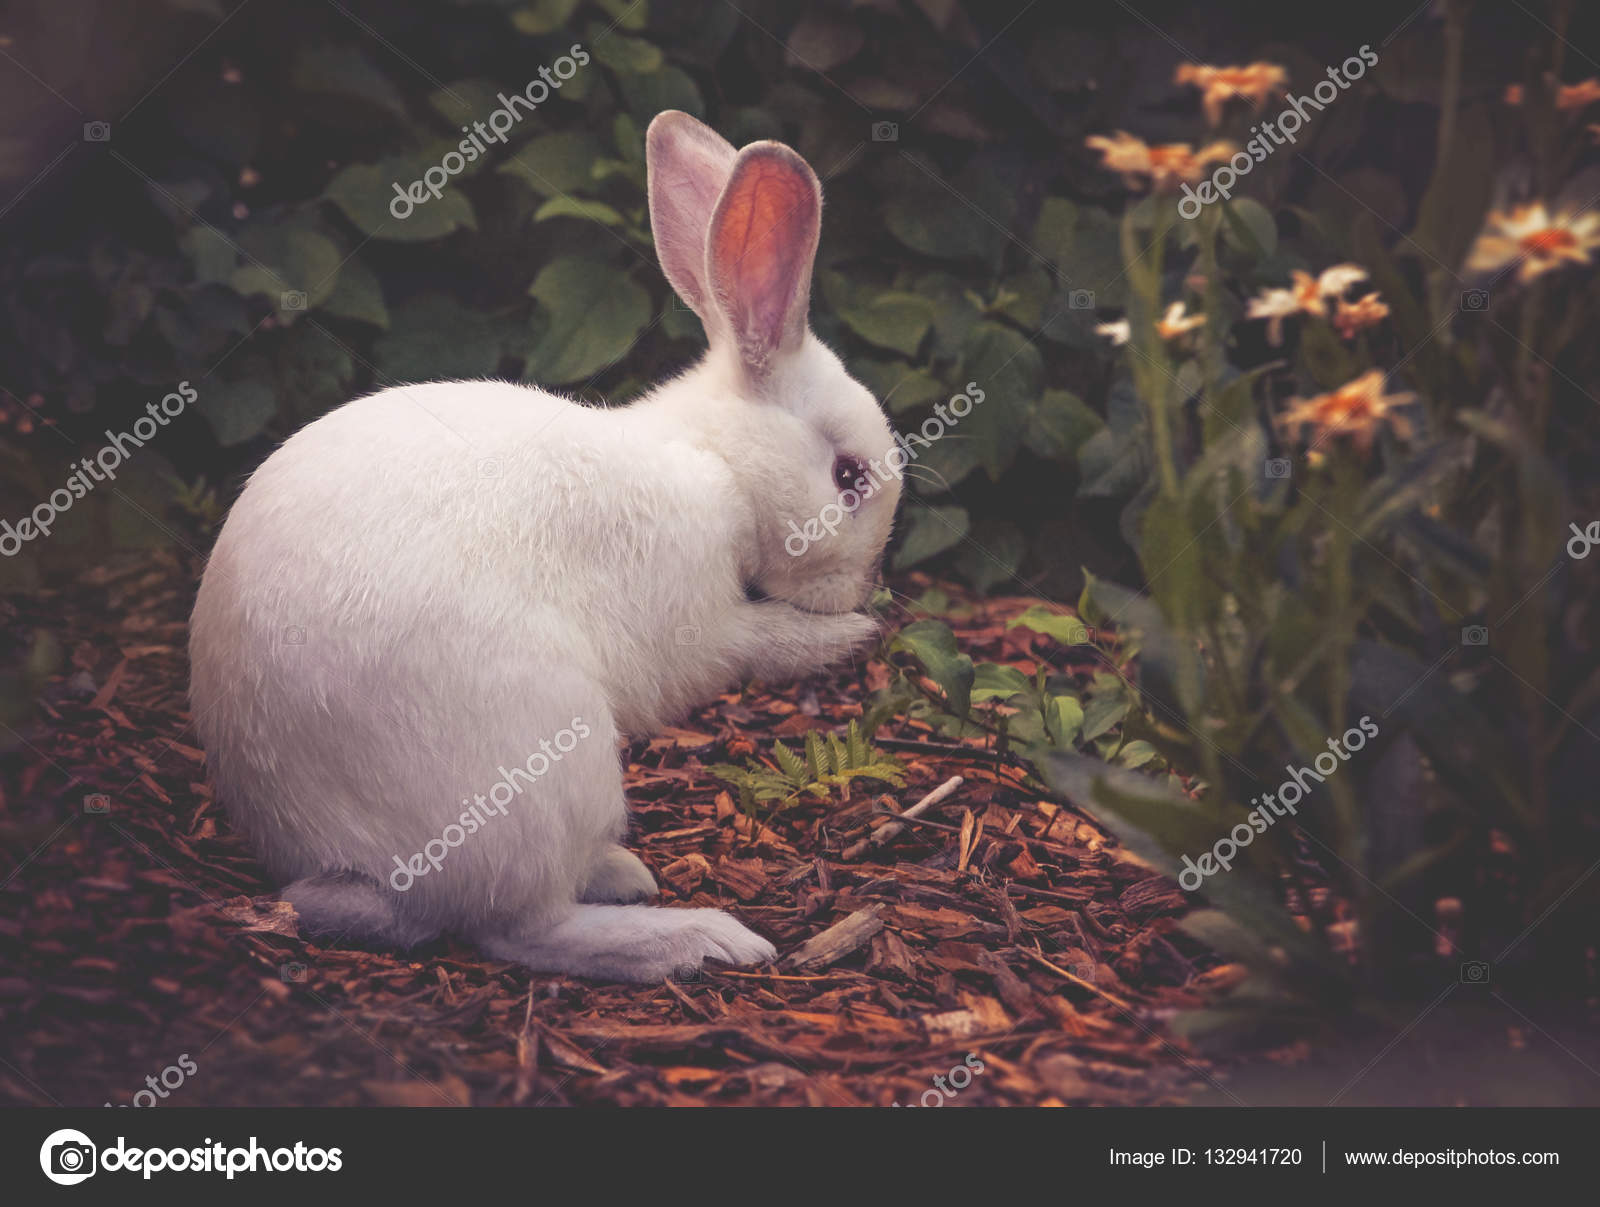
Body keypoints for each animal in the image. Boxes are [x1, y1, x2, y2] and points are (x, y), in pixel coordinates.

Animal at [187, 110, 904, 983]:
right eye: (849, 476)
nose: (868, 583)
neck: (717, 465)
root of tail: (345, 858)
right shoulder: (695, 623)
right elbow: (750, 644)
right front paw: (848, 635)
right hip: (547, 760)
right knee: (522, 928)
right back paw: (697, 936)